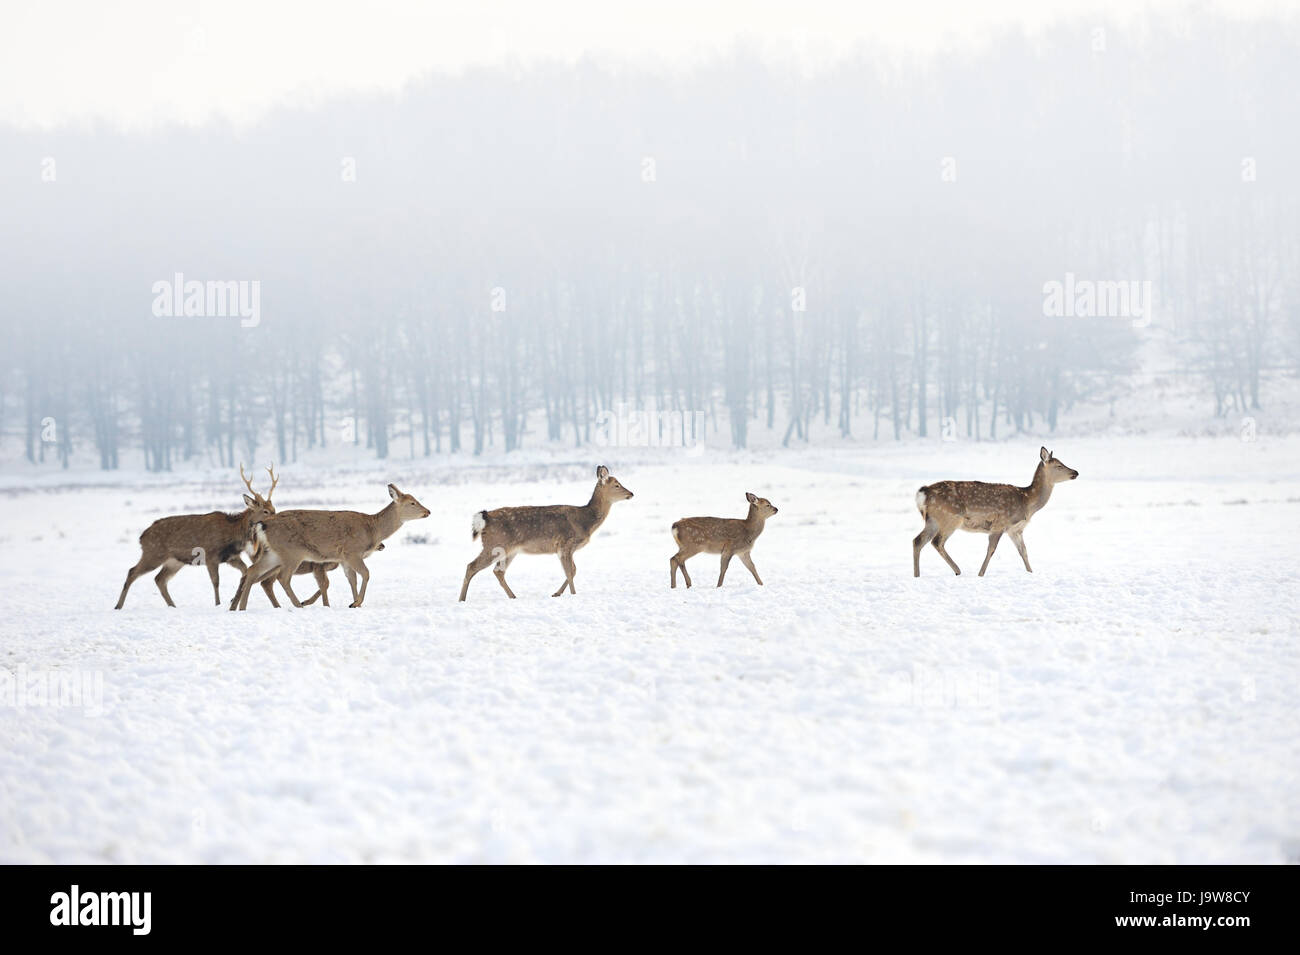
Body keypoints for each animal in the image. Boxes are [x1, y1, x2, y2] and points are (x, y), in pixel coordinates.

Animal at [114, 464, 278, 609]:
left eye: (273, 509)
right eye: (265, 511)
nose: (276, 517)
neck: (233, 535)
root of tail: (142, 537)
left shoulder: (231, 557)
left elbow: (245, 570)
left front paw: (233, 598)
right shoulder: (211, 555)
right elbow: (215, 581)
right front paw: (218, 604)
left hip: (174, 561)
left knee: (159, 579)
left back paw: (173, 605)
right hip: (153, 554)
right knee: (132, 572)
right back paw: (118, 606)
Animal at [230, 484, 430, 610]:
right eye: (412, 503)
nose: (428, 511)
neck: (372, 529)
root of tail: (262, 525)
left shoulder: (344, 559)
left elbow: (352, 579)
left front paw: (354, 602)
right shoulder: (352, 551)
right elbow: (366, 574)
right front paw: (357, 602)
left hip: (274, 553)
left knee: (252, 572)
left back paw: (242, 608)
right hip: (291, 551)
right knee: (282, 577)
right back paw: (298, 604)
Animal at [459, 465, 634, 601]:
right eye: (617, 485)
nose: (631, 493)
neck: (585, 522)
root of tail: (485, 518)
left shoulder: (567, 549)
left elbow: (573, 570)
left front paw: (556, 593)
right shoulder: (565, 543)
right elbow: (569, 571)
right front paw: (573, 594)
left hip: (509, 550)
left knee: (498, 571)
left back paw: (513, 596)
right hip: (495, 544)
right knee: (471, 566)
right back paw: (462, 599)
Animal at [912, 446, 1079, 578]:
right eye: (1059, 466)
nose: (1075, 472)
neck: (1027, 502)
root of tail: (924, 492)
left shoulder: (1015, 530)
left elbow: (1024, 551)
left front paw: (1031, 573)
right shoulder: (1000, 524)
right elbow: (991, 550)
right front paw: (980, 574)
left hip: (933, 520)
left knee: (918, 540)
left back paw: (917, 575)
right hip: (950, 517)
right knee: (937, 541)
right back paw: (958, 570)